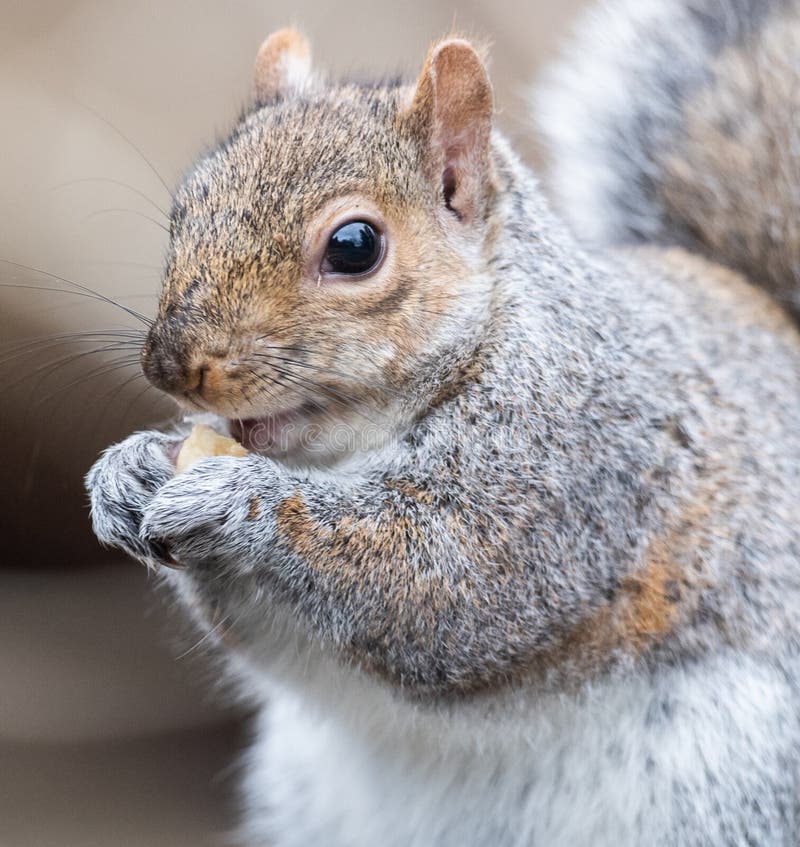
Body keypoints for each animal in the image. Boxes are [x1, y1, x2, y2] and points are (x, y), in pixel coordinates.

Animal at [86, 0, 800, 844]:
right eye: (185, 208)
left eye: (354, 246)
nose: (170, 365)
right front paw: (127, 471)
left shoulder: (577, 466)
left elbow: (448, 587)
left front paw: (239, 500)